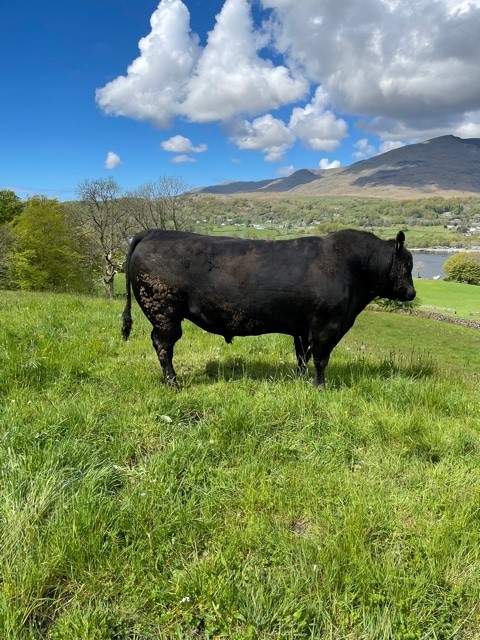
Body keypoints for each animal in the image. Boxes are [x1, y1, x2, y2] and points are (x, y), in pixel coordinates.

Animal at [121, 228, 415, 387]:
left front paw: (300, 380)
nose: (412, 293)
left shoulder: (303, 328)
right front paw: (320, 386)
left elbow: (302, 357)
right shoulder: (326, 326)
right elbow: (321, 359)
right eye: (409, 264)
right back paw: (173, 382)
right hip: (164, 314)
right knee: (163, 345)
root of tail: (153, 232)